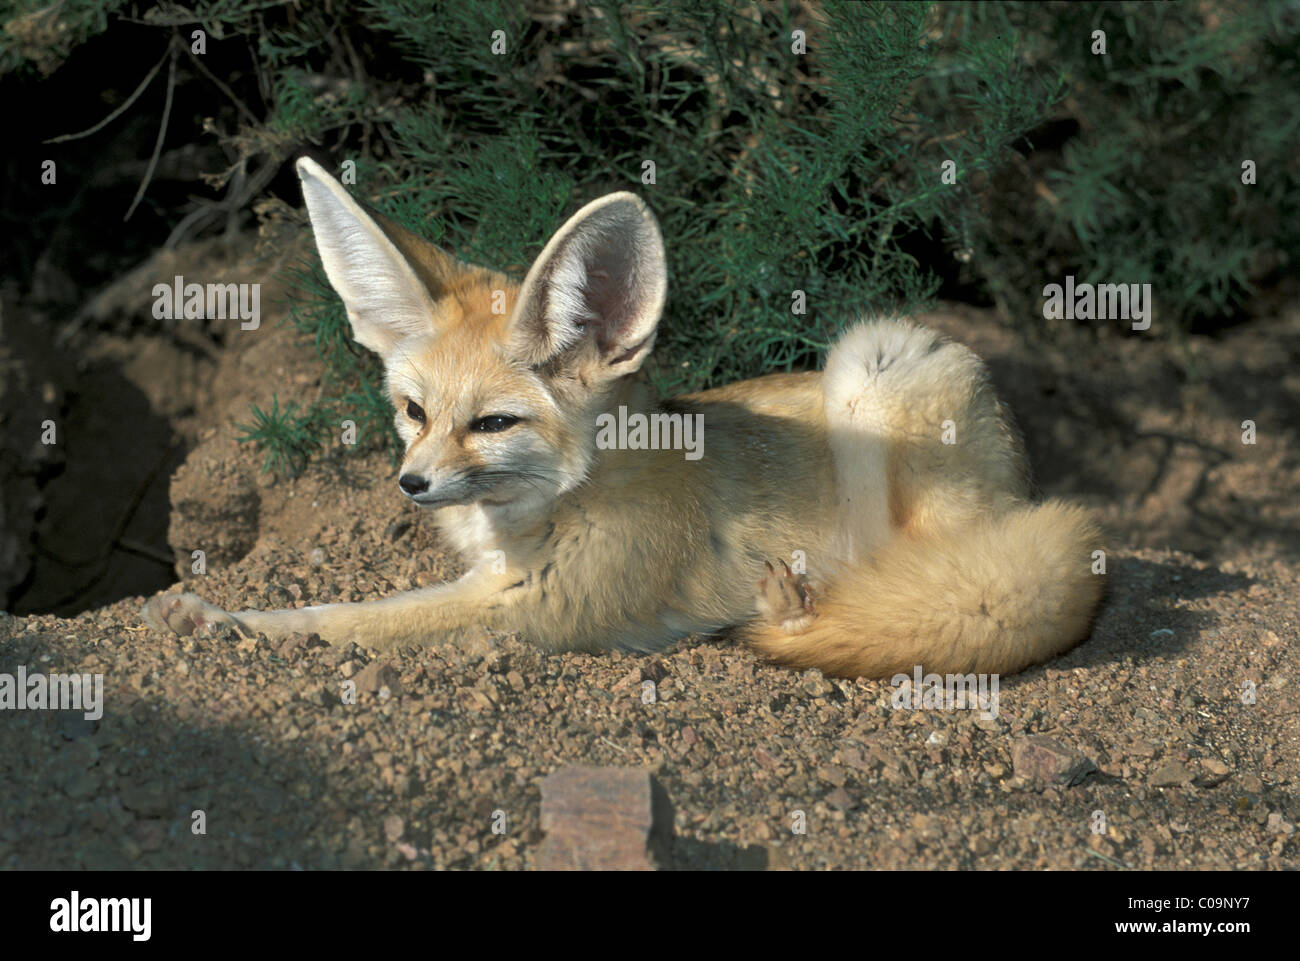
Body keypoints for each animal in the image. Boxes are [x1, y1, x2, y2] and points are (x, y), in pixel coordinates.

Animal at [141, 156, 1105, 679]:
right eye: (413, 411)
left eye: (493, 423)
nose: (410, 483)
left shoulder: (538, 612)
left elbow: (355, 617)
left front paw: (227, 621)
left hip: (872, 362)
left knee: (895, 584)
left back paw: (800, 600)